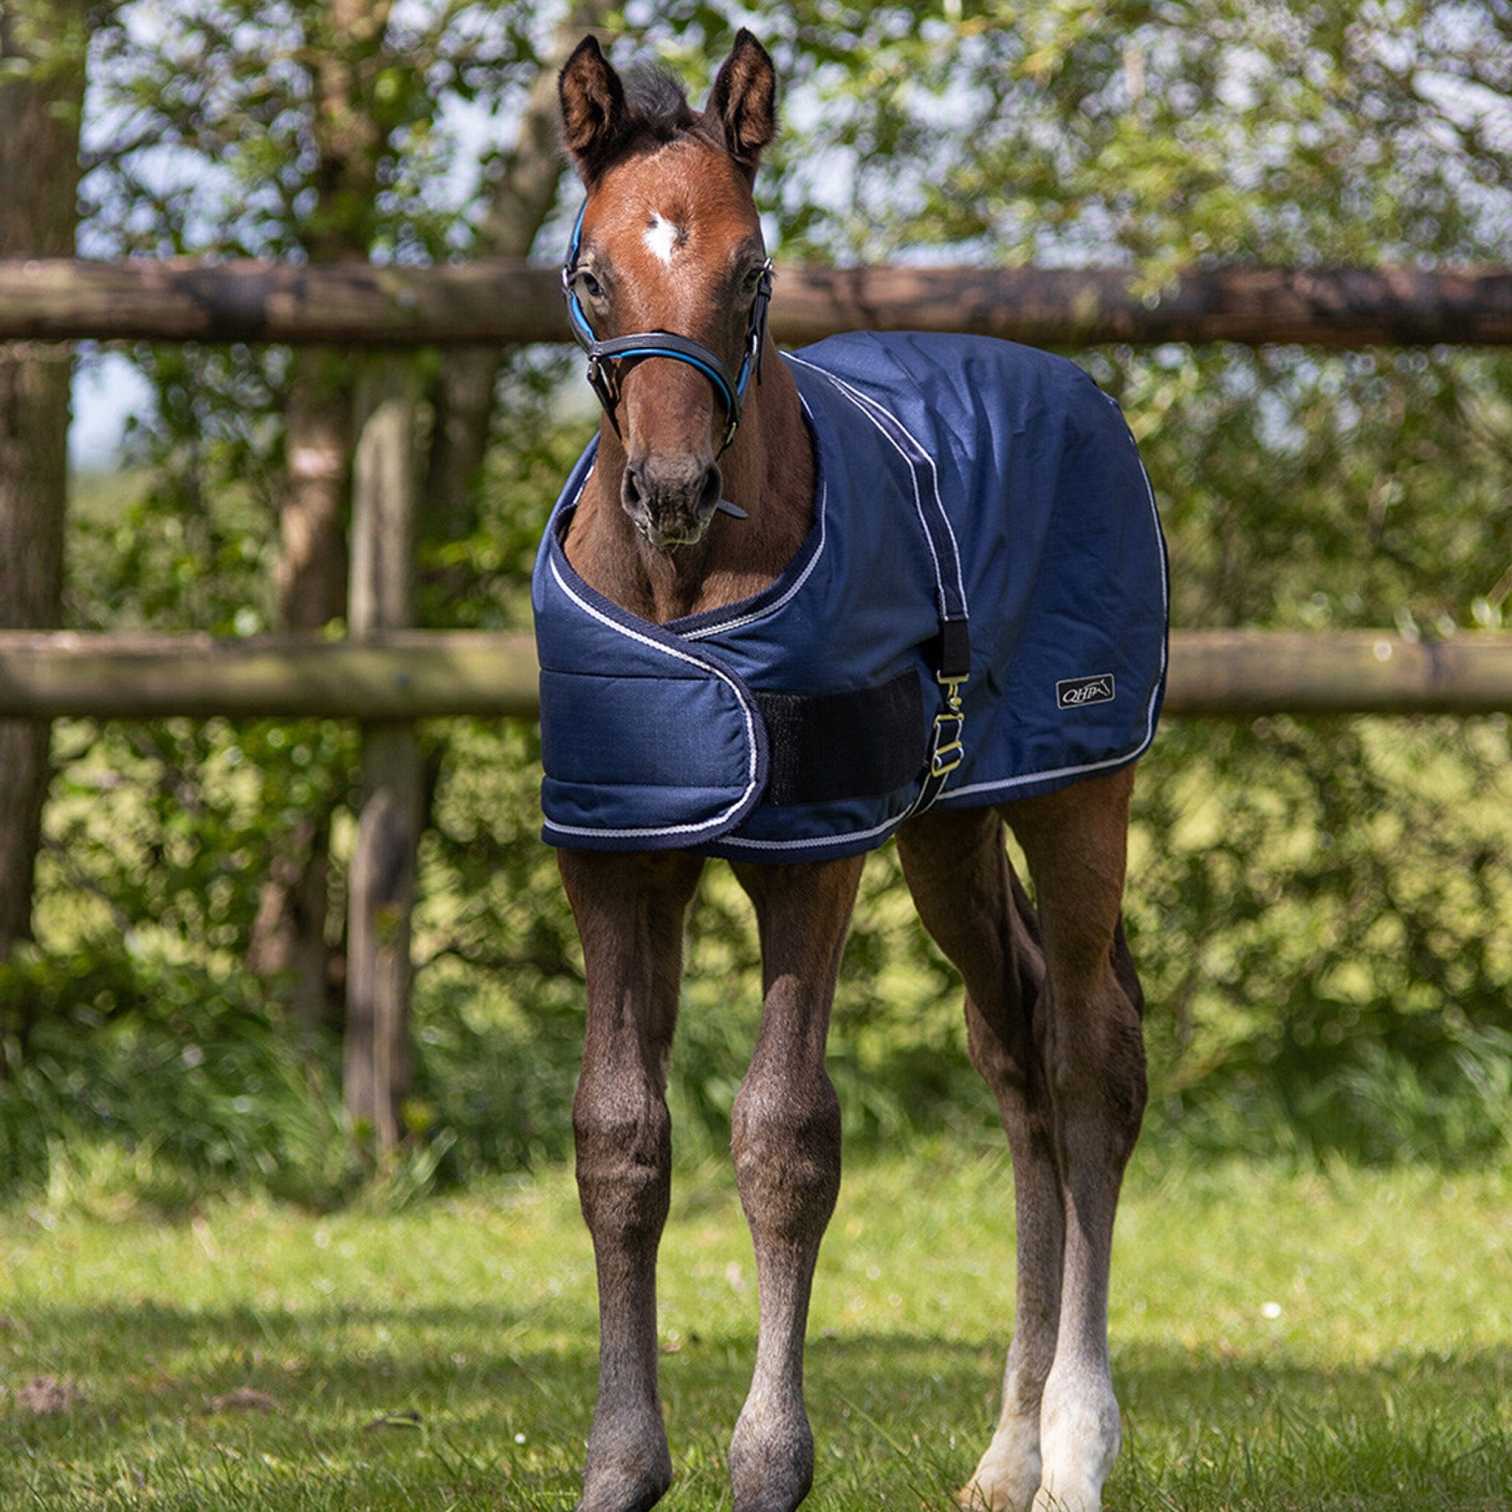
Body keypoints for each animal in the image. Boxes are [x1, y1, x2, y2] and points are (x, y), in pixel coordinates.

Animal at [540, 29, 1164, 1512]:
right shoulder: (614, 852)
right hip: (948, 827)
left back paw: (1074, 1446)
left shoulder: (808, 854)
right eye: (594, 277)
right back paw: (1004, 1454)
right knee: (1015, 1054)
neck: (681, 598)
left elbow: (784, 1141)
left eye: (752, 269)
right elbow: (618, 1139)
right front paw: (621, 1467)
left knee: (1089, 1063)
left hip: (1077, 790)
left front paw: (768, 1463)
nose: (670, 493)